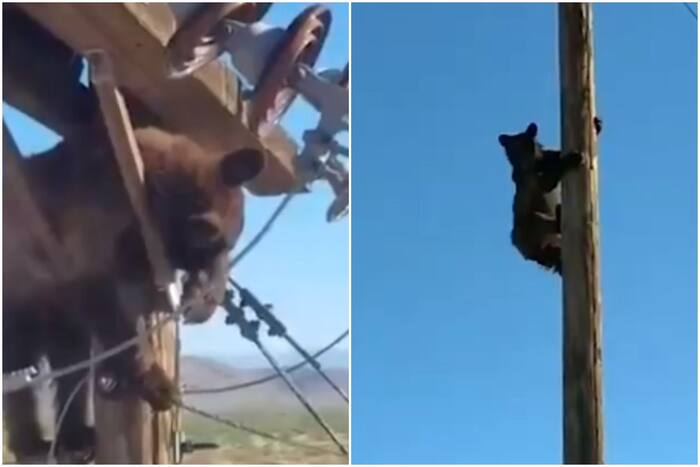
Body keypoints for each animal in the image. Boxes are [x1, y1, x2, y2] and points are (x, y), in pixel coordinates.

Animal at [3, 124, 264, 462]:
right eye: (209, 242)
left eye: (227, 246)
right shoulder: (91, 219)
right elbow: (103, 301)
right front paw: (155, 382)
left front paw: (201, 299)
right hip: (20, 300)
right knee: (18, 370)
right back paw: (32, 443)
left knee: (70, 365)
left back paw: (75, 438)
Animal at [497, 120, 601, 273]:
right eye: (513, 147)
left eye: (525, 140)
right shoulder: (532, 180)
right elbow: (547, 182)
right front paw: (572, 159)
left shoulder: (546, 158)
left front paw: (597, 126)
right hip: (530, 227)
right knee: (542, 221)